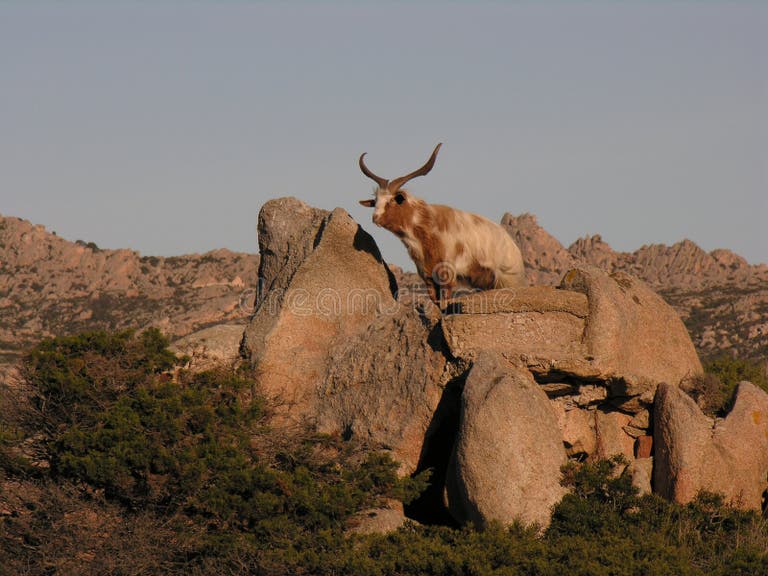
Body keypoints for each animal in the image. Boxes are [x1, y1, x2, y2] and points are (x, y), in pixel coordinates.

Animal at [358, 143, 525, 307]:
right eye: (376, 201)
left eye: (391, 200)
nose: (375, 217)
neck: (428, 227)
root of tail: (513, 246)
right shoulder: (428, 277)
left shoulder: (447, 274)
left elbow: (445, 302)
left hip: (507, 280)